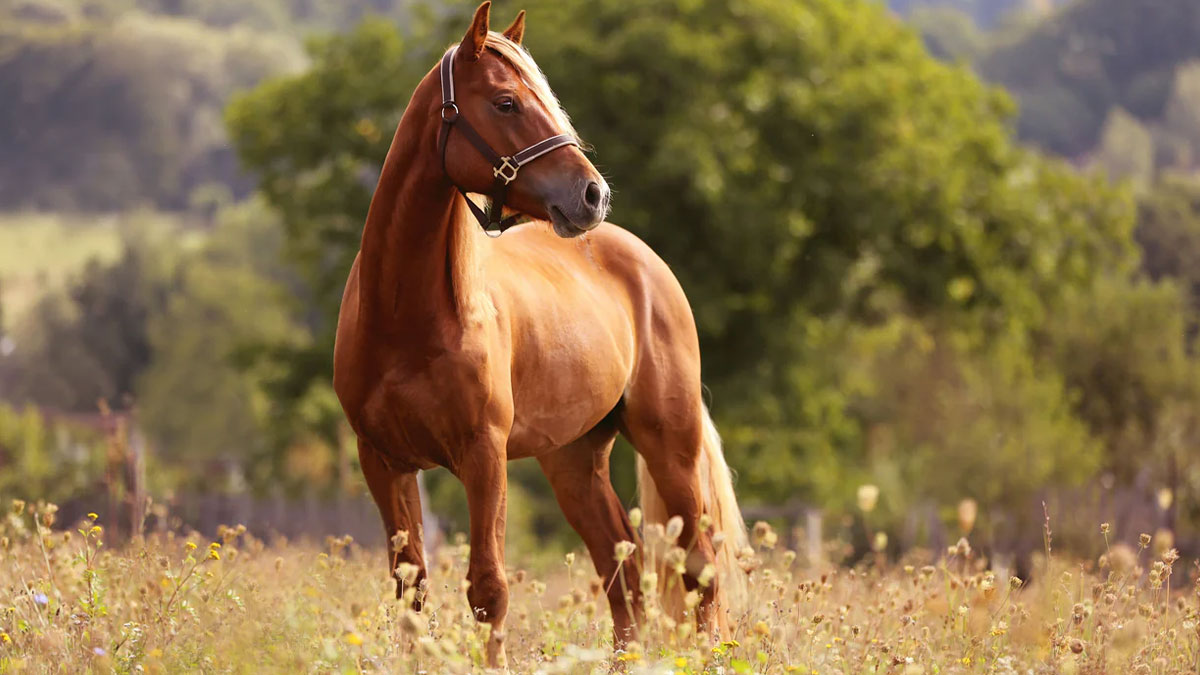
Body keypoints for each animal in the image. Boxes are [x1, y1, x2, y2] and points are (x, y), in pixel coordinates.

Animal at [332, 2, 747, 666]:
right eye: (506, 103)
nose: (593, 194)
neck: (406, 319)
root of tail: (645, 261)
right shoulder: (383, 462)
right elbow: (410, 592)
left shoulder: (483, 455)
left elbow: (488, 589)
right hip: (573, 460)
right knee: (622, 571)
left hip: (670, 445)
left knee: (698, 567)